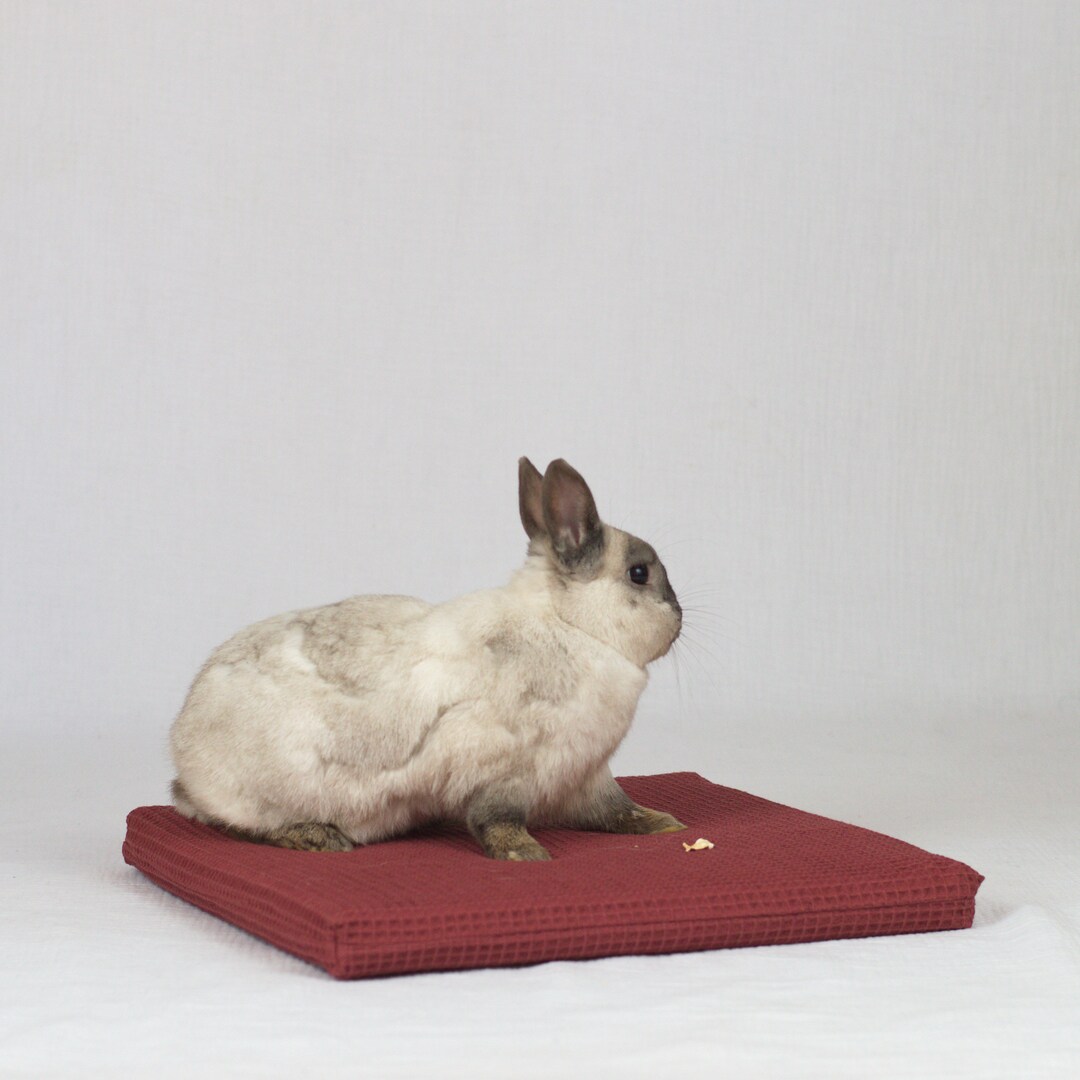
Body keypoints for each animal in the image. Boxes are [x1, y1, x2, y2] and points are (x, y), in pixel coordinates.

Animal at [169, 457, 686, 860]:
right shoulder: (504, 771)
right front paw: (526, 853)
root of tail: (183, 755)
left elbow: (615, 809)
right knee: (244, 825)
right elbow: (496, 819)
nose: (680, 617)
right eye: (639, 574)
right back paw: (320, 838)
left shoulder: (586, 774)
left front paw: (666, 823)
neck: (572, 625)